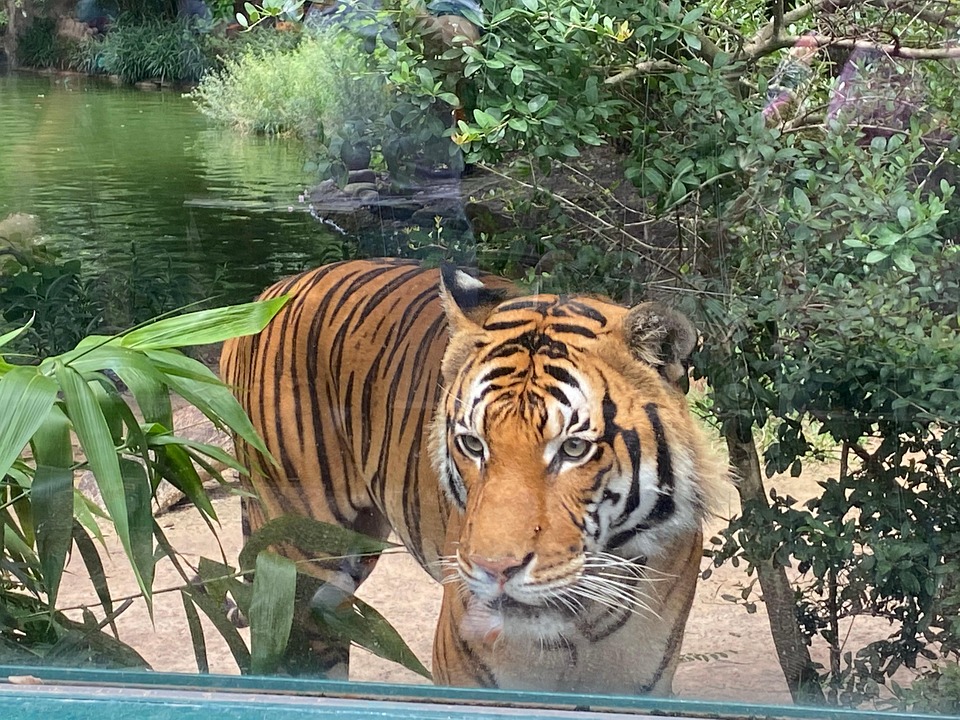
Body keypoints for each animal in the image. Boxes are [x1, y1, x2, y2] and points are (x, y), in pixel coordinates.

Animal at [219, 257, 720, 695]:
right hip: (298, 555)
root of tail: (273, 290)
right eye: (474, 444)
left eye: (574, 448)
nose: (495, 569)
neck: (579, 627)